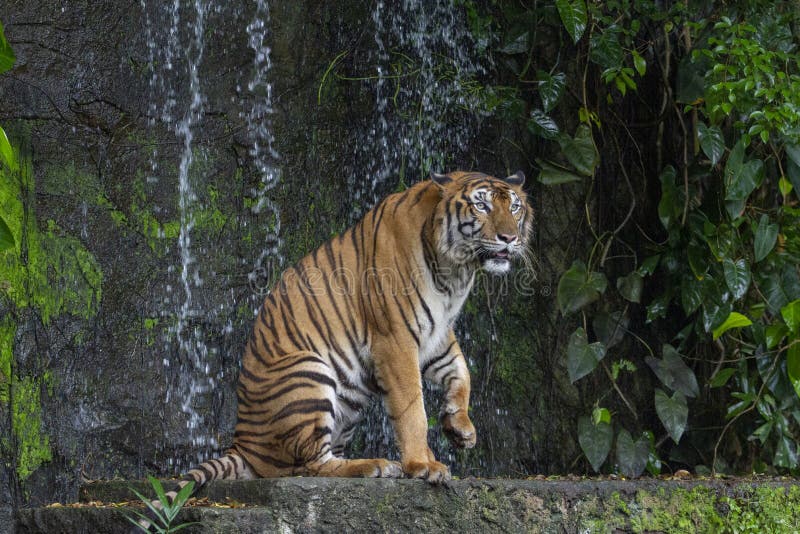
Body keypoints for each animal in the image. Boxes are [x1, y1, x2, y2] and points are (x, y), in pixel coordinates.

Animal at [148, 170, 531, 516]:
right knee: (309, 465)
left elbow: (461, 372)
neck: (456, 271)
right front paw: (423, 465)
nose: (509, 237)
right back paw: (376, 465)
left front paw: (460, 428)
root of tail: (242, 444)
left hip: (349, 399)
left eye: (514, 207)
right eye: (481, 205)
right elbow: (412, 409)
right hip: (309, 372)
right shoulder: (396, 339)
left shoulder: (436, 334)